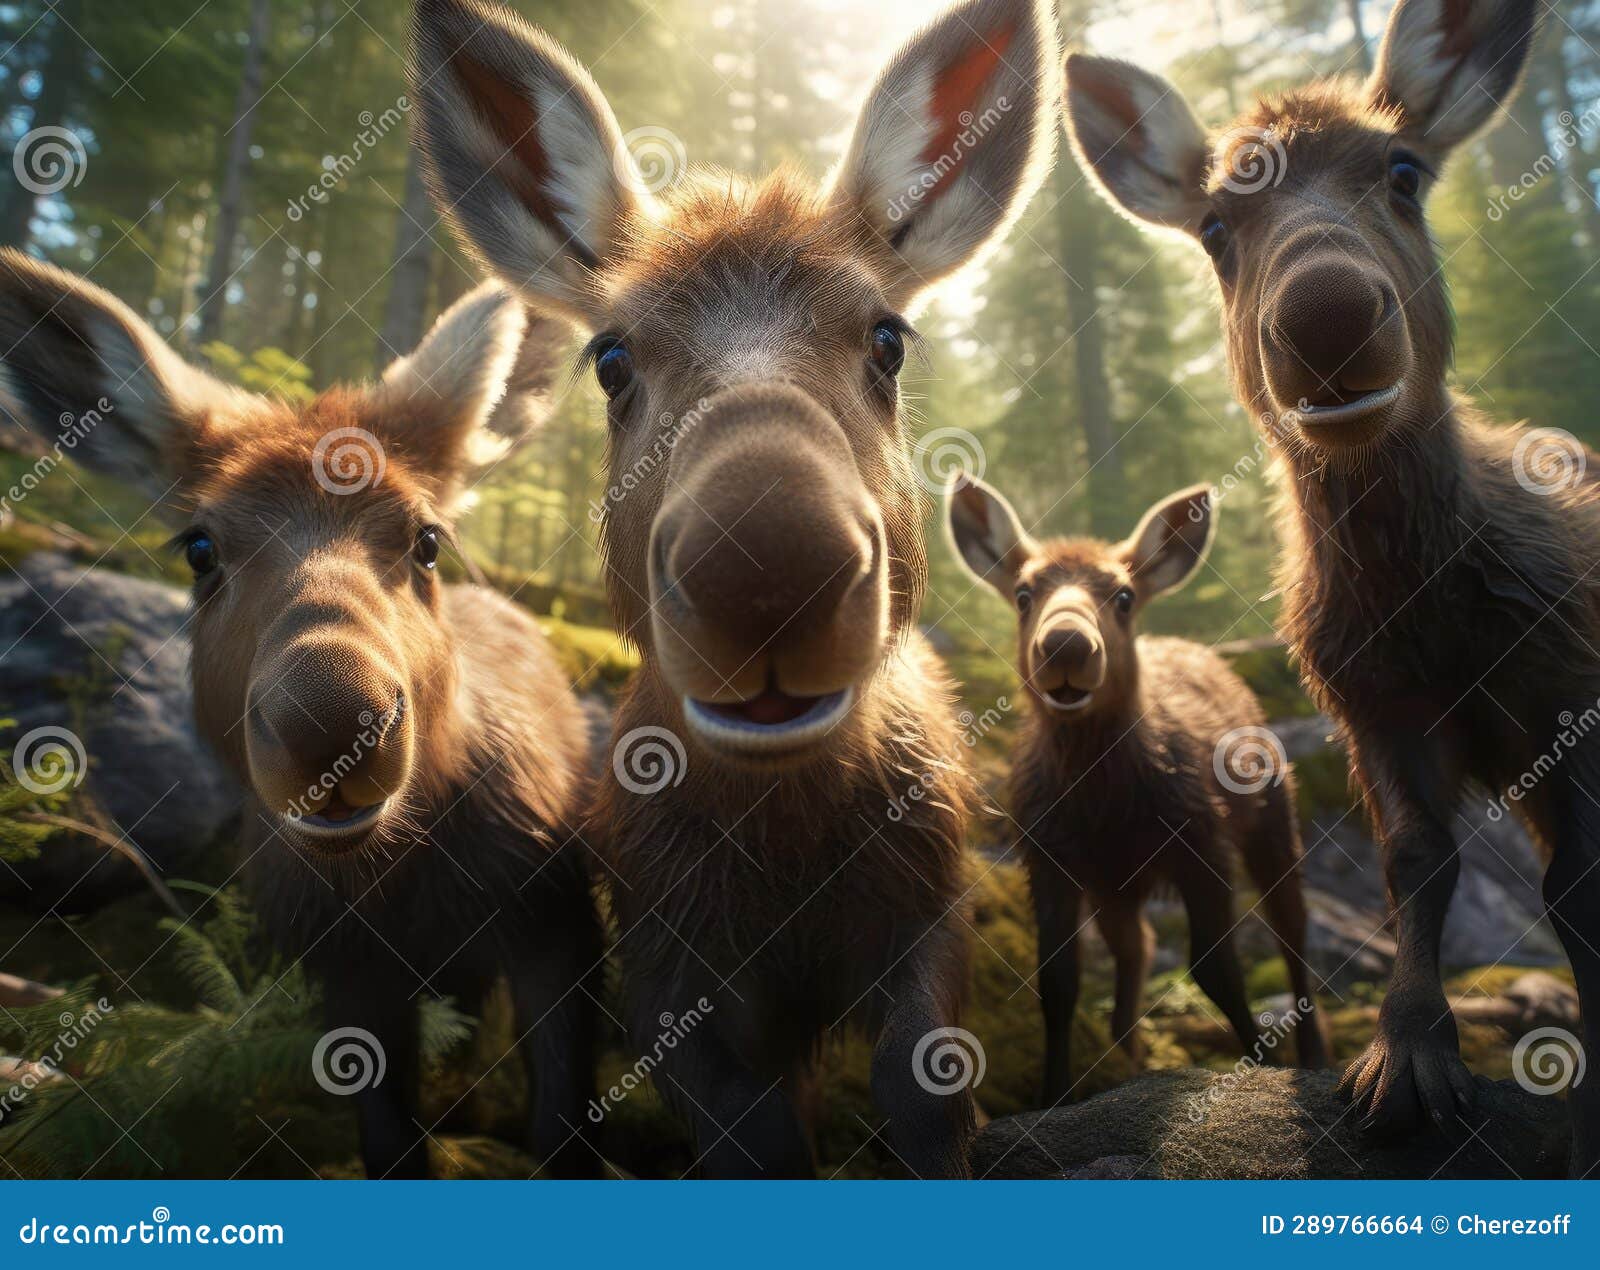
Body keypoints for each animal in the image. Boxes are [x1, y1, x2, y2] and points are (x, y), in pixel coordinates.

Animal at [0, 251, 604, 1180]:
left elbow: (562, 1131)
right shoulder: (344, 974)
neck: (399, 883)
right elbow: (391, 1145)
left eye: (428, 539)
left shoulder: (557, 923)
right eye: (199, 549)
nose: (331, 722)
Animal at [407, 0, 1060, 1177]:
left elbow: (925, 1093)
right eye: (611, 359)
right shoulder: (669, 974)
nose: (766, 571)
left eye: (887, 339)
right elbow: (755, 1138)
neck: (785, 846)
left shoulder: (933, 910)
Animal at [948, 473, 1328, 1103]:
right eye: (1024, 593)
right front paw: (1055, 1095)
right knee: (1139, 947)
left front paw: (1262, 1063)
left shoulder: (1203, 843)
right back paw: (1128, 1059)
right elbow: (1057, 982)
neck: (1103, 800)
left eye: (1123, 596)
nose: (1067, 645)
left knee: (1292, 931)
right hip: (1114, 889)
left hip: (1273, 818)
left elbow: (1216, 968)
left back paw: (1315, 1056)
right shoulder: (1047, 858)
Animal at [1061, 0, 1600, 1174]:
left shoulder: (1572, 689)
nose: (1327, 314)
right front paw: (1406, 1058)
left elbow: (1576, 887)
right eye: (1215, 226)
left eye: (1402, 171)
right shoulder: (1372, 707)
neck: (1426, 600)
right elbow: (1417, 863)